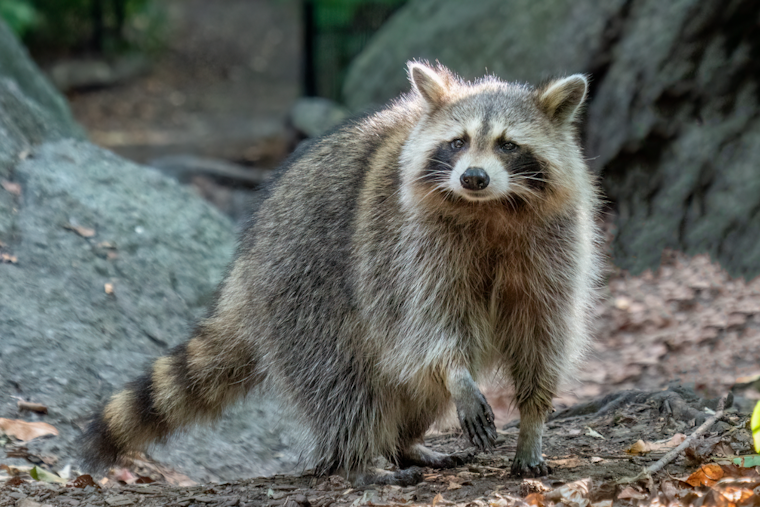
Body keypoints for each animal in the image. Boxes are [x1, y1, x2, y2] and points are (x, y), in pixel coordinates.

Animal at [82, 61, 601, 483]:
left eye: (508, 145)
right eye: (457, 143)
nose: (473, 177)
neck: (491, 208)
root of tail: (245, 269)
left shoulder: (553, 246)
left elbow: (543, 332)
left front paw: (533, 420)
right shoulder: (409, 246)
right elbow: (430, 323)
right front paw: (458, 375)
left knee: (410, 385)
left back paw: (405, 442)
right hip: (303, 287)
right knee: (343, 379)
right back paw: (358, 459)